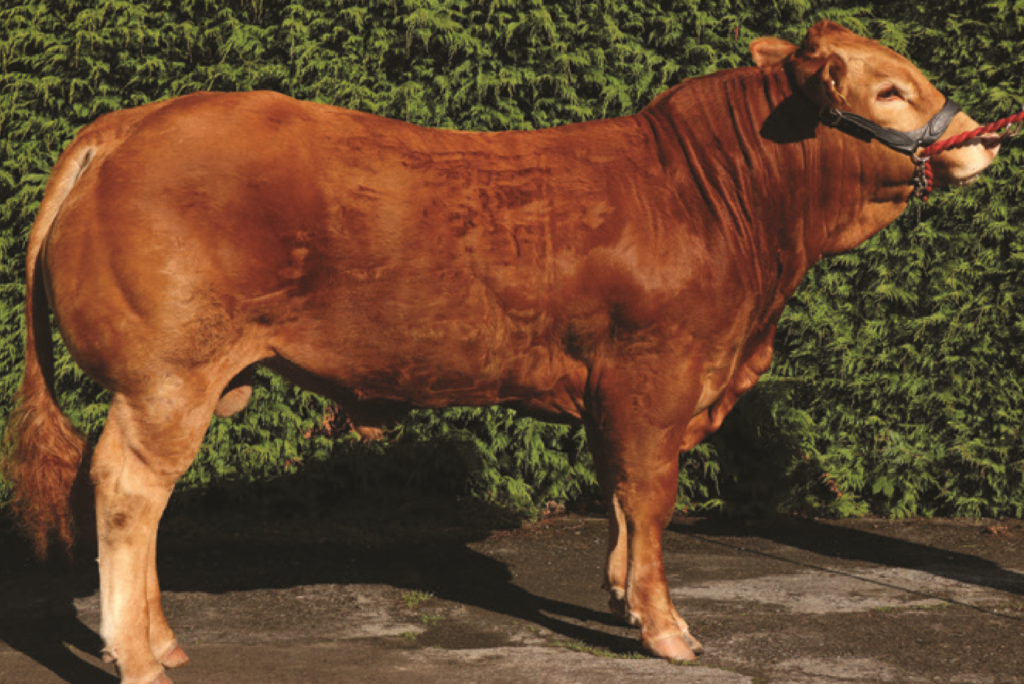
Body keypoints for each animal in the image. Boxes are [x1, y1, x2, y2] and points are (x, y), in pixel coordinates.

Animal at [2, 20, 1001, 684]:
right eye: (889, 91)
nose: (986, 139)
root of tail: (128, 125)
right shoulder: (657, 371)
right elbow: (651, 494)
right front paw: (666, 627)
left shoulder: (616, 387)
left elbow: (620, 496)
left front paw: (619, 595)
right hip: (166, 380)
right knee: (128, 491)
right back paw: (138, 656)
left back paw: (163, 639)